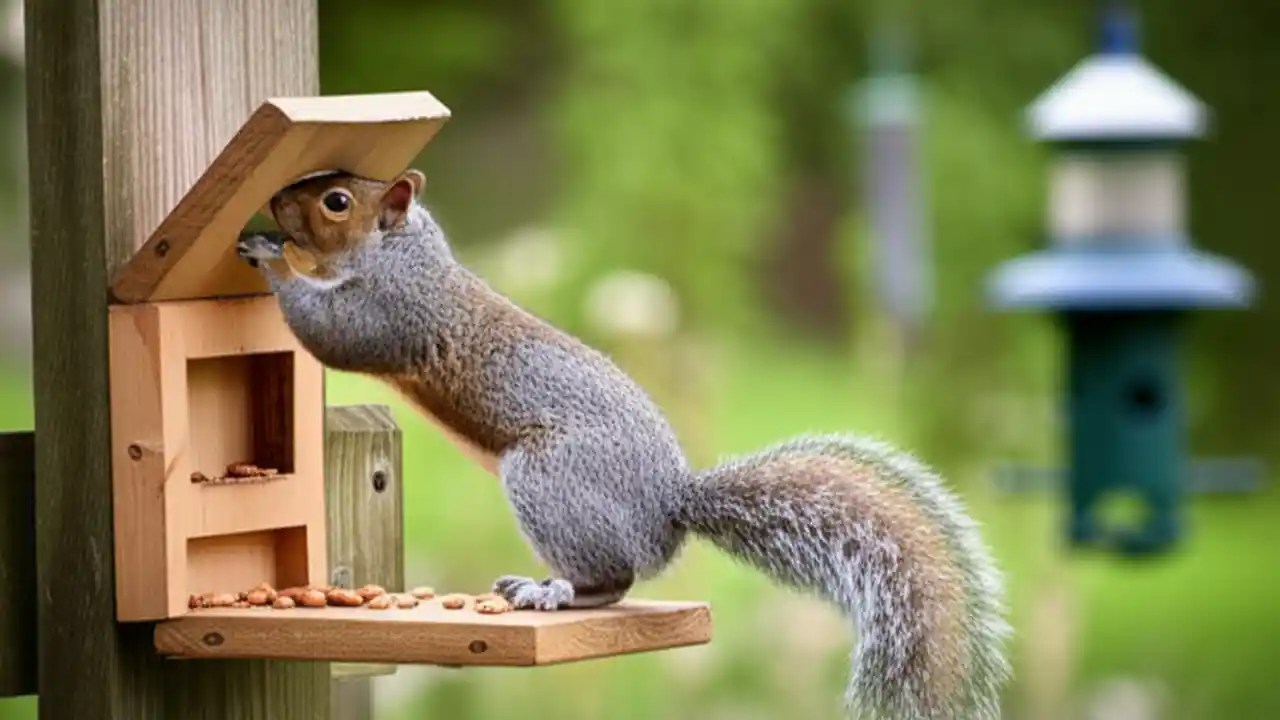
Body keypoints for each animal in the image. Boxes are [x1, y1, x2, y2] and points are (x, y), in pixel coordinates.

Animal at [237, 168, 1012, 720]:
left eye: (336, 200)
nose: (273, 198)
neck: (407, 251)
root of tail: (668, 505)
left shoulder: (393, 312)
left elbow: (332, 333)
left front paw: (272, 259)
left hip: (548, 478)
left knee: (611, 578)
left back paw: (549, 591)